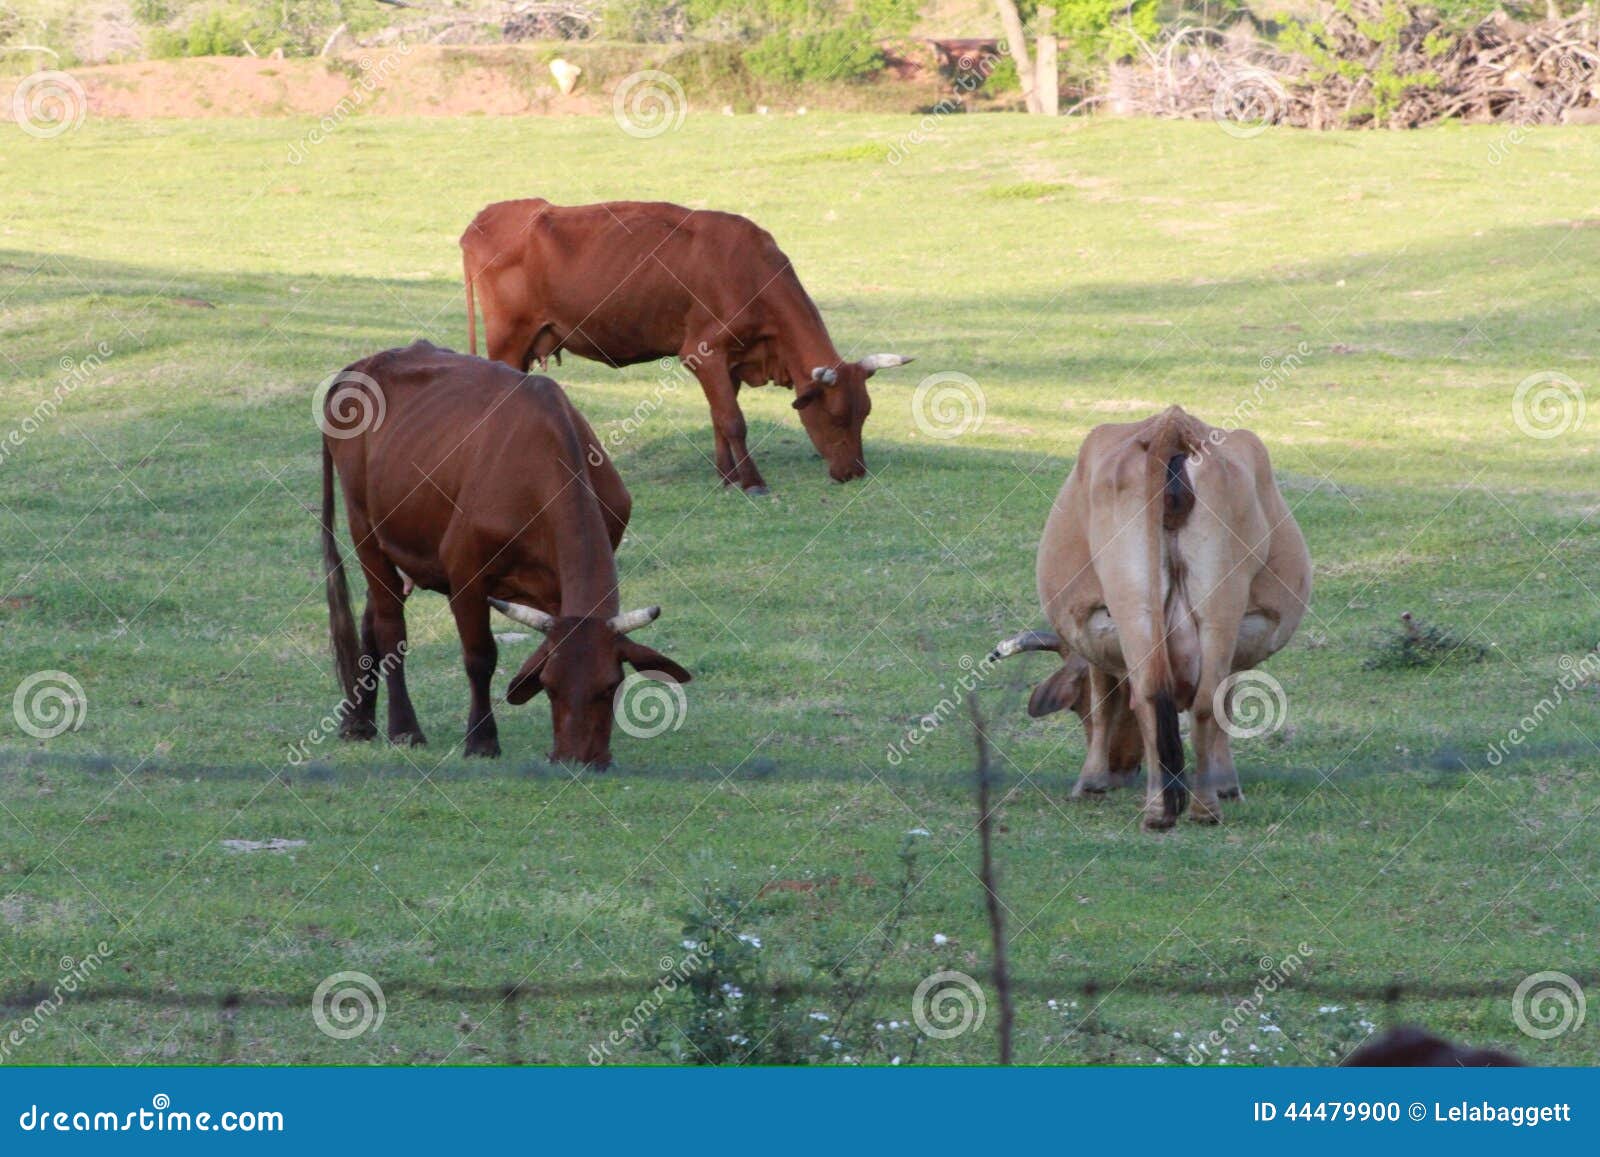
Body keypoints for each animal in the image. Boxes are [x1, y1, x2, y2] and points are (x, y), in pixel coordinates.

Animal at [319, 341, 691, 767]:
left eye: (611, 685)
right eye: (549, 685)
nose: (576, 759)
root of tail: (363, 364)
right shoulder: (464, 573)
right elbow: (480, 656)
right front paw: (482, 740)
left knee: (372, 619)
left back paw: (358, 722)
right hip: (364, 528)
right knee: (390, 627)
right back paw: (404, 728)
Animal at [459, 199, 912, 494]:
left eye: (865, 414)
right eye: (836, 417)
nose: (854, 473)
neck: (747, 272)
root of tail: (486, 217)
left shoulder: (731, 361)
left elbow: (719, 418)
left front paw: (728, 477)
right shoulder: (705, 352)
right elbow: (733, 420)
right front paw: (753, 482)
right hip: (507, 341)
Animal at [990, 406, 1310, 829]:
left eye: (1074, 706)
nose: (1121, 770)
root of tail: (1171, 426)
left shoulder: (1091, 629)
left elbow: (1104, 700)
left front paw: (1089, 782)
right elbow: (1227, 702)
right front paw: (1228, 785)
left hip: (1131, 605)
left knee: (1146, 693)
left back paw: (1159, 809)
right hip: (1218, 606)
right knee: (1202, 699)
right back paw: (1202, 808)